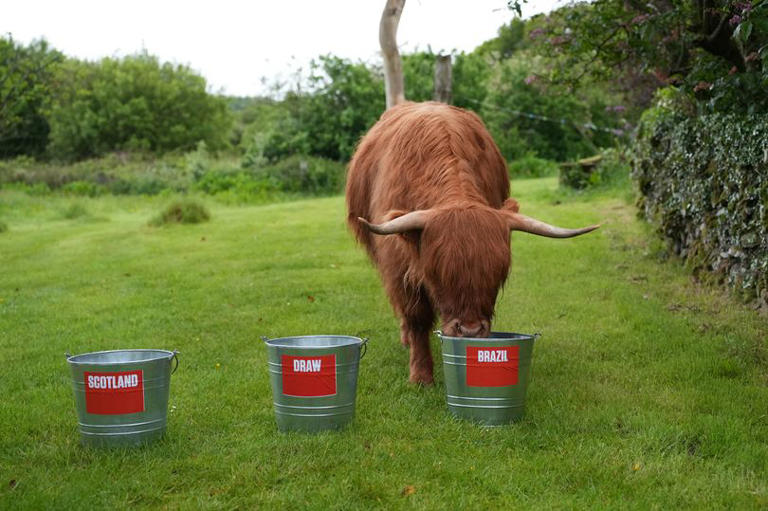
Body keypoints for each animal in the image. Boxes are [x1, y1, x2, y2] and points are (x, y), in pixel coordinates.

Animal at [346, 101, 598, 384]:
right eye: (436, 274)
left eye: (498, 274)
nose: (470, 331)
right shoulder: (397, 267)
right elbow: (416, 317)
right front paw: (421, 375)